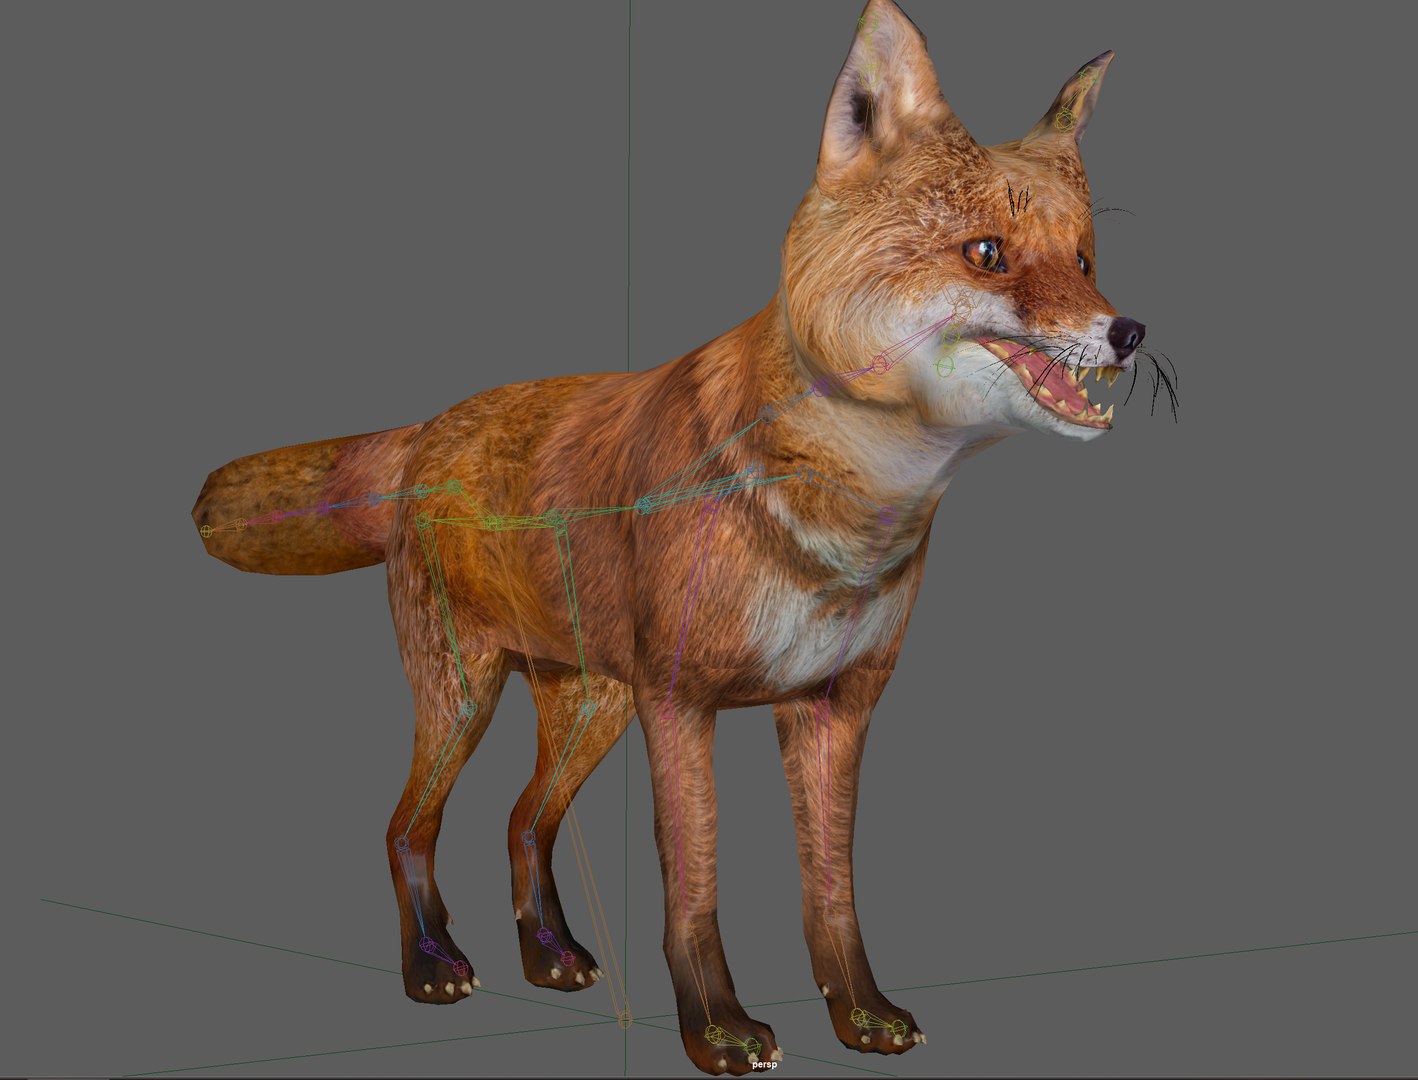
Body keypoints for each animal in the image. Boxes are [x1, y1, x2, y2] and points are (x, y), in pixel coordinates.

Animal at [191, 1, 1159, 1075]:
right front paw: (718, 1031)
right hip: (468, 696)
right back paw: (433, 967)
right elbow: (694, 891)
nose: (1129, 333)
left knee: (523, 821)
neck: (847, 525)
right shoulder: (681, 704)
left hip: (589, 707)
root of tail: (432, 426)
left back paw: (553, 954)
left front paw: (861, 1017)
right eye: (988, 253)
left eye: (1086, 261)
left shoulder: (835, 708)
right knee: (408, 826)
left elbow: (832, 897)